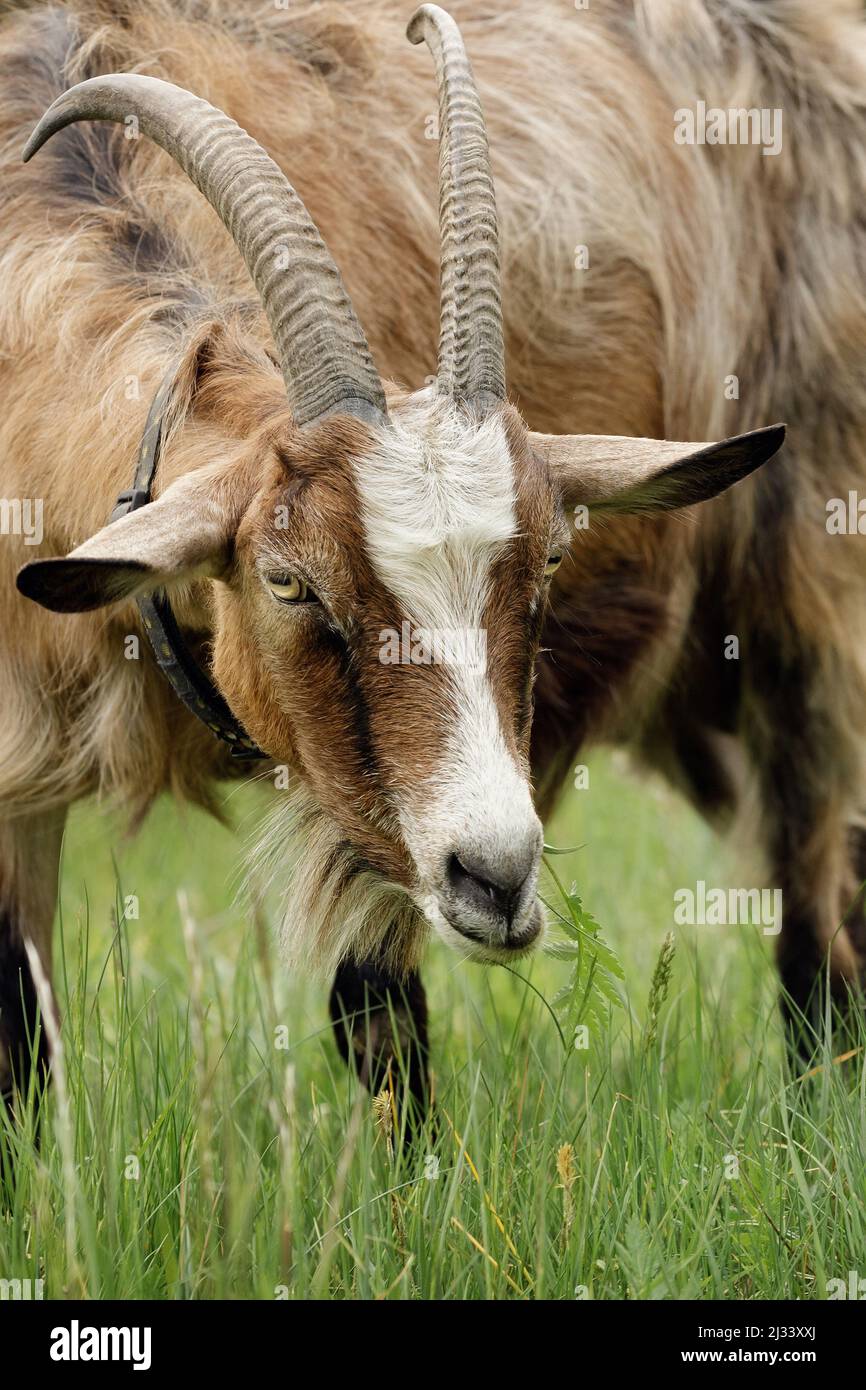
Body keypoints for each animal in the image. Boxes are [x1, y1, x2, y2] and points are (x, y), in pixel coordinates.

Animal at [0, 0, 861, 1117]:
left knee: (818, 917)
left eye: (548, 562)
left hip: (808, 606)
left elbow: (381, 1023)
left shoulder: (374, 821)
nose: (497, 876)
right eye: (288, 581)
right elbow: (21, 1031)